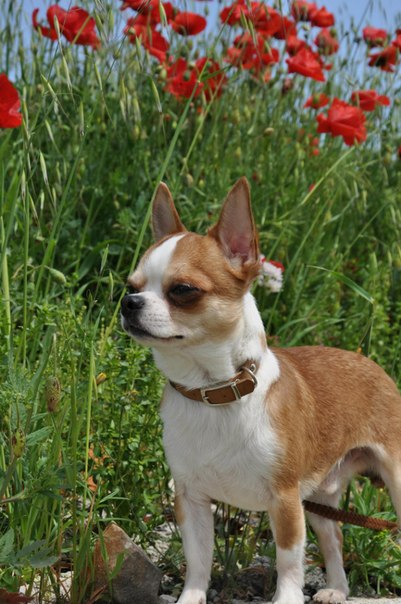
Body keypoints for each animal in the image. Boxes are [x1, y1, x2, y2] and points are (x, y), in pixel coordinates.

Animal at [121, 177, 401, 604]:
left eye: (182, 290)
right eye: (130, 285)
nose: (128, 302)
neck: (214, 391)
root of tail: (372, 364)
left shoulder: (285, 501)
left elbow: (289, 561)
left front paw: (286, 599)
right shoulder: (192, 500)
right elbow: (198, 560)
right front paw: (191, 597)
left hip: (393, 479)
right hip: (319, 501)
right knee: (334, 538)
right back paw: (337, 590)